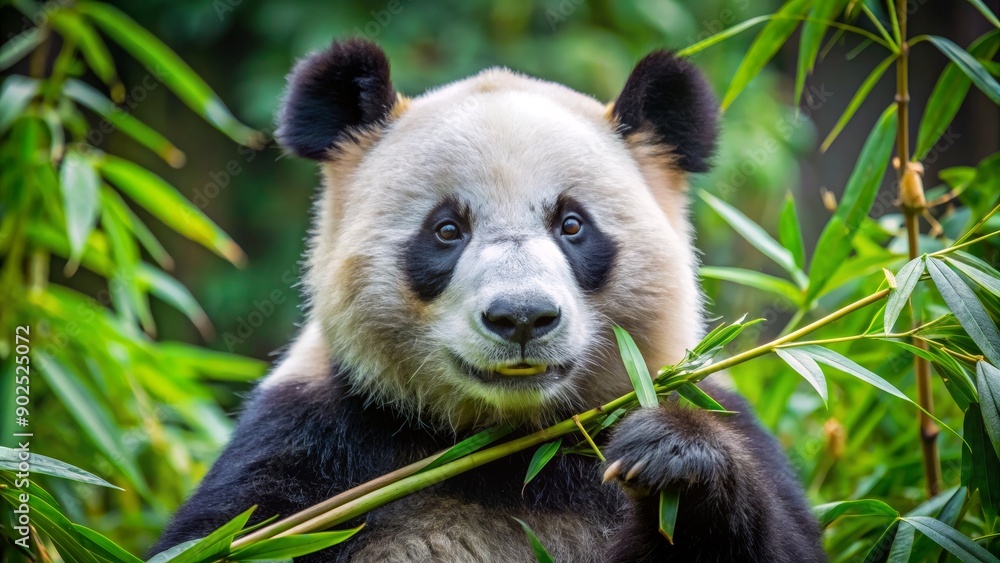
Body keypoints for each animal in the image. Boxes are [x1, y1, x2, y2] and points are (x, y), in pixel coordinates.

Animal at [154, 39, 825, 562]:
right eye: (447, 230)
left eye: (572, 225)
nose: (522, 318)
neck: (508, 448)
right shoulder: (307, 442)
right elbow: (227, 531)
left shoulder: (711, 405)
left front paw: (672, 457)